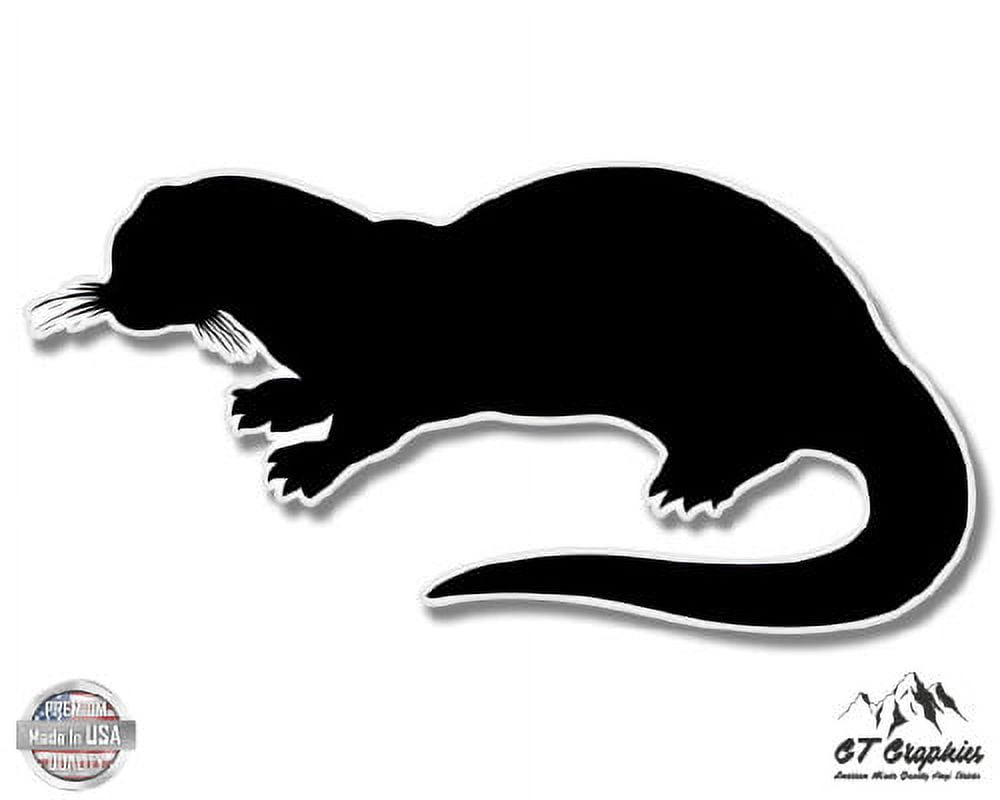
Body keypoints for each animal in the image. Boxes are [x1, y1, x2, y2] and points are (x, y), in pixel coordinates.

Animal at [28, 167, 974, 632]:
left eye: (155, 262)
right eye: (120, 251)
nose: (117, 300)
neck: (328, 289)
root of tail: (873, 347)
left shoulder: (404, 370)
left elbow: (371, 422)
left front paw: (309, 463)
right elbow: (322, 389)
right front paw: (273, 400)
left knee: (767, 439)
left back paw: (691, 482)